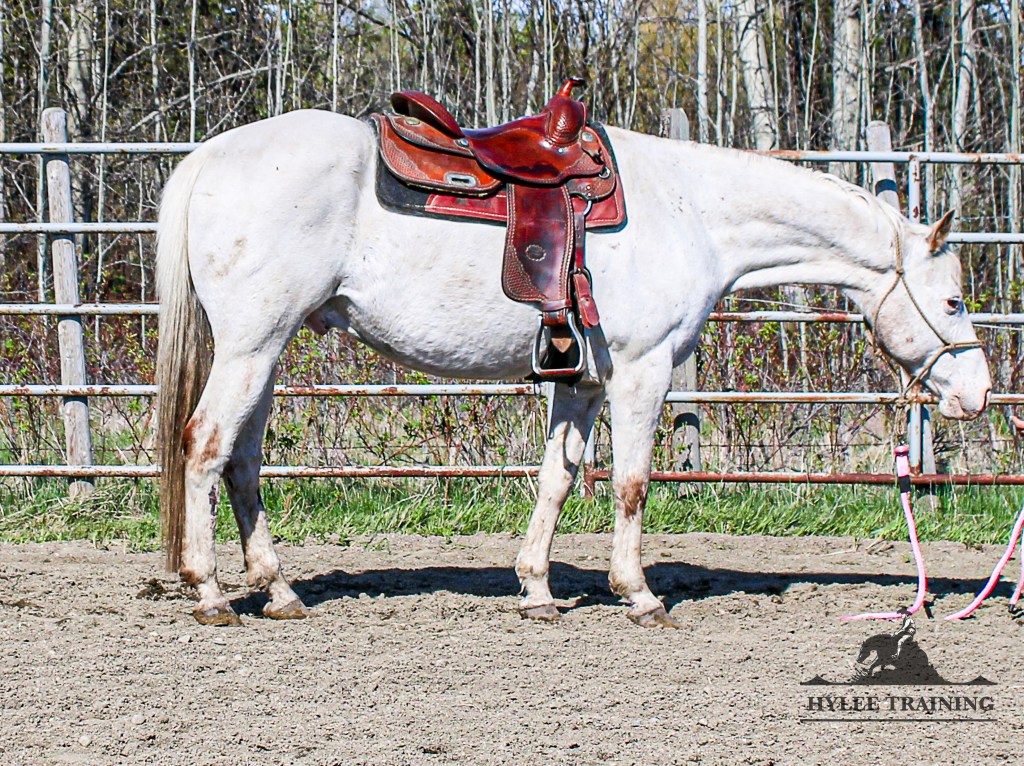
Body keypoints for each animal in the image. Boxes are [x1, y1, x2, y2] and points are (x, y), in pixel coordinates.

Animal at [155, 109, 991, 627]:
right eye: (952, 300)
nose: (980, 394)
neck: (695, 213)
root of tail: (210, 156)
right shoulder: (642, 372)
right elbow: (631, 483)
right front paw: (639, 594)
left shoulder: (581, 383)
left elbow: (557, 480)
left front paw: (536, 589)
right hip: (251, 346)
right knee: (204, 446)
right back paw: (211, 593)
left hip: (265, 352)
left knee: (243, 462)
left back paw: (279, 590)